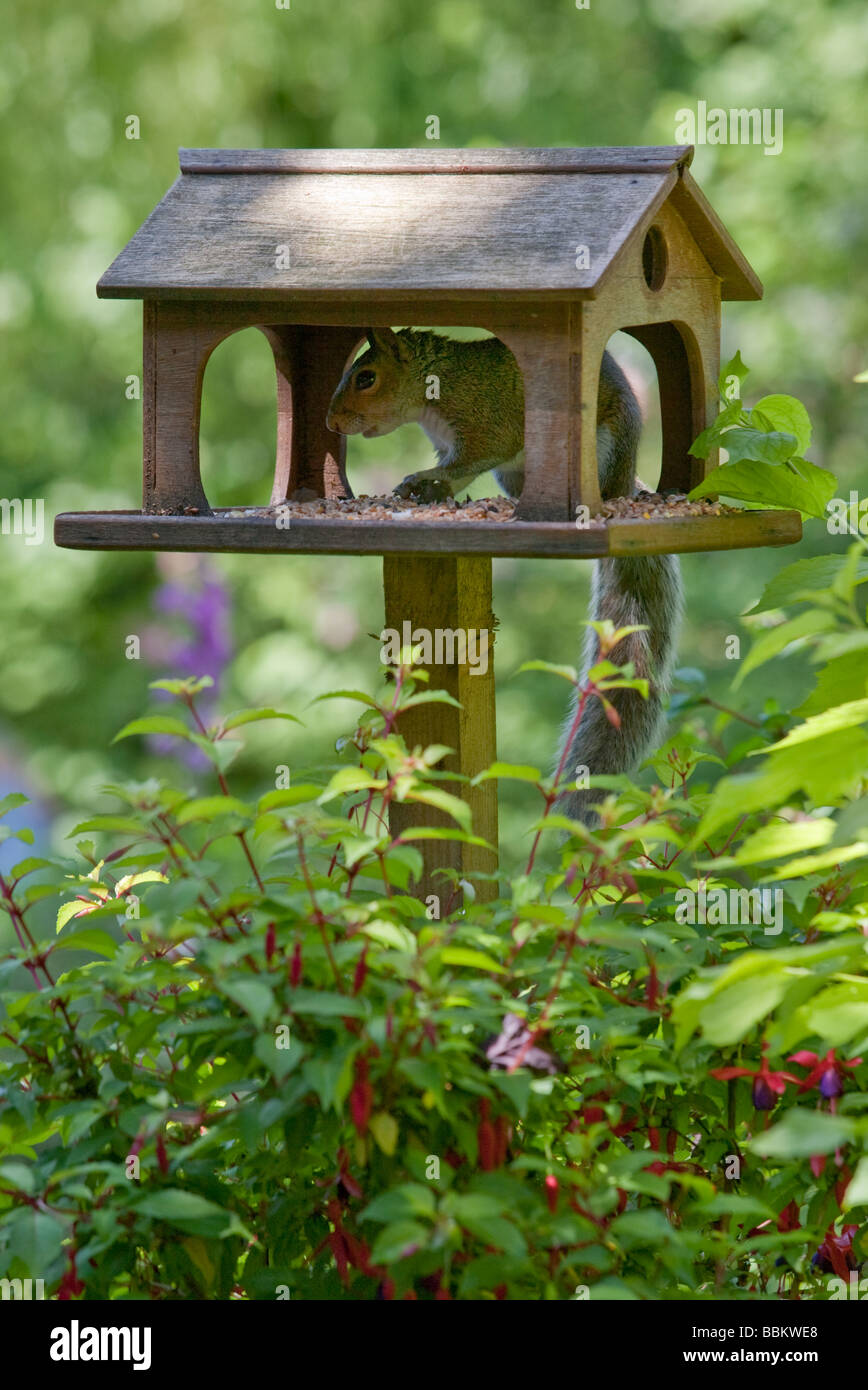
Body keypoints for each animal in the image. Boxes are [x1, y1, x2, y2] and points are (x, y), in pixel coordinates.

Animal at [326, 328, 683, 824]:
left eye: (366, 378)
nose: (331, 423)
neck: (433, 387)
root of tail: (628, 482)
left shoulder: (485, 423)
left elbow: (471, 458)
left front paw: (422, 481)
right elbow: (454, 472)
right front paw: (429, 490)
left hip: (603, 451)